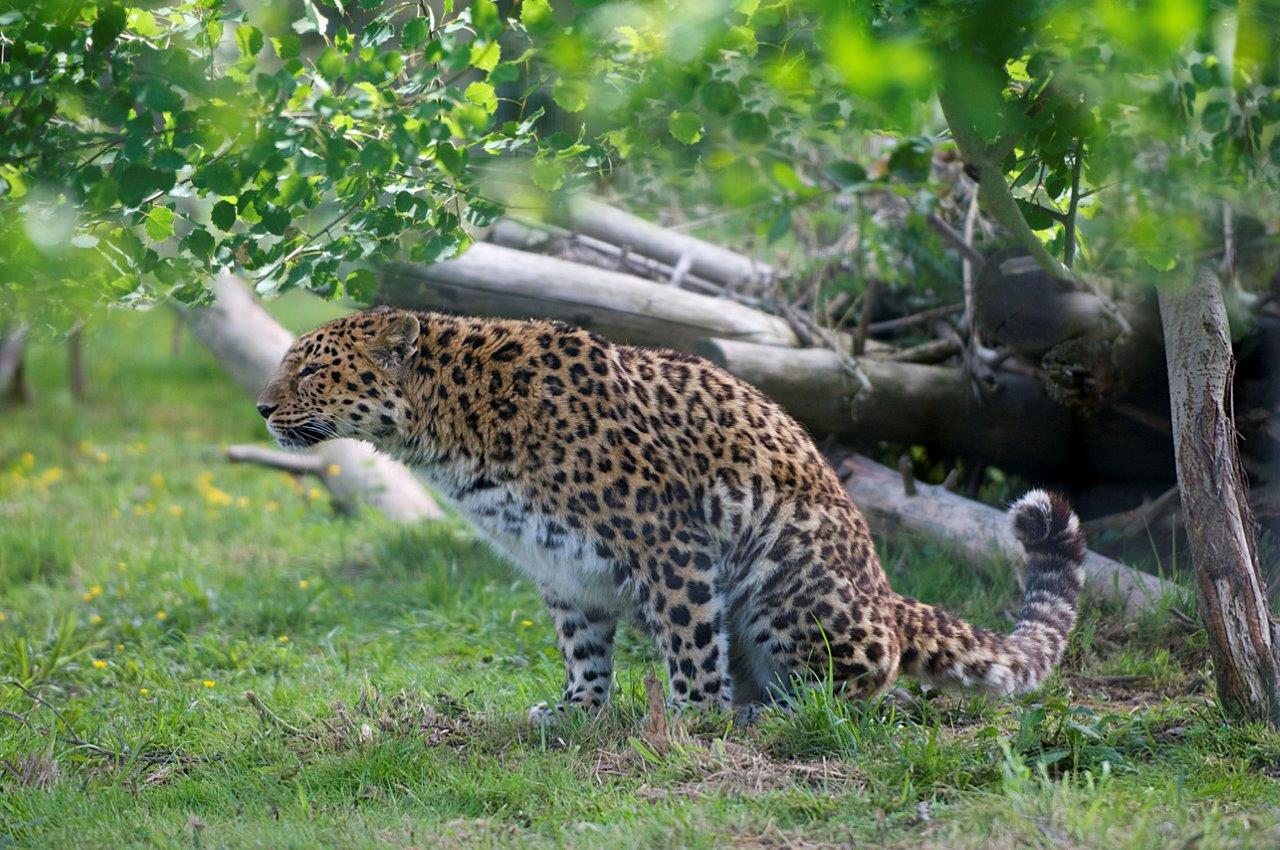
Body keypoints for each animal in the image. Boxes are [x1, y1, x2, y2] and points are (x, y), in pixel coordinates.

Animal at [256, 306, 1086, 721]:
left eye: (312, 369)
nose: (261, 408)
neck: (451, 427)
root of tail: (887, 596)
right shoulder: (561, 563)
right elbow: (582, 647)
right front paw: (578, 711)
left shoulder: (667, 539)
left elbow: (688, 638)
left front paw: (693, 719)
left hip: (788, 588)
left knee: (865, 680)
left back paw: (777, 713)